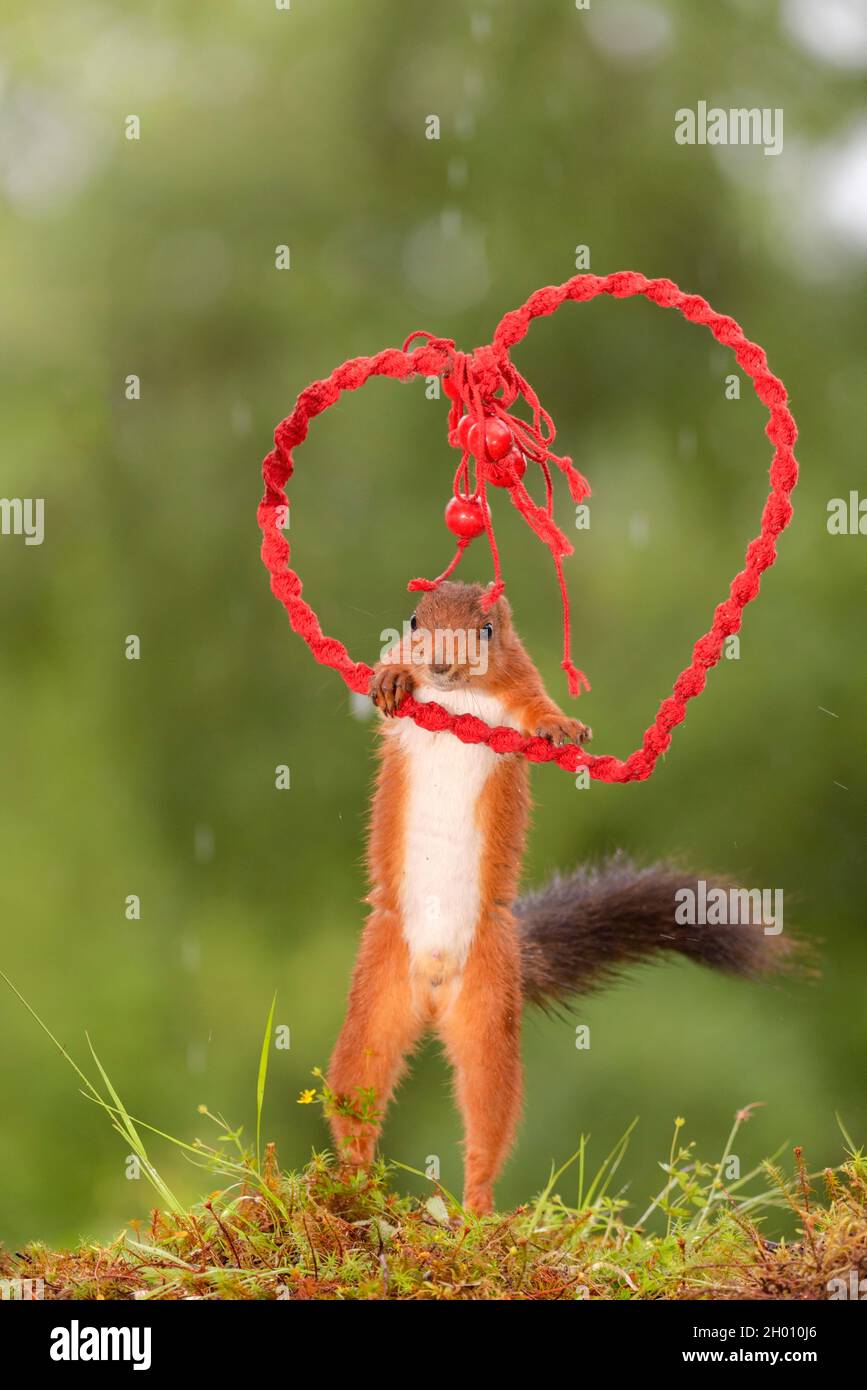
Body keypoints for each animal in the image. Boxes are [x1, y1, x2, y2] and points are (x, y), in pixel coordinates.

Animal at [327, 580, 785, 1213]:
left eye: (485, 629)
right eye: (415, 621)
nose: (439, 663)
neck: (459, 696)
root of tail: (435, 990)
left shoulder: (520, 686)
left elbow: (537, 708)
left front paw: (563, 727)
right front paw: (394, 678)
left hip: (490, 1011)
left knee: (487, 1120)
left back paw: (475, 1210)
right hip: (375, 994)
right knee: (355, 1096)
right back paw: (351, 1186)